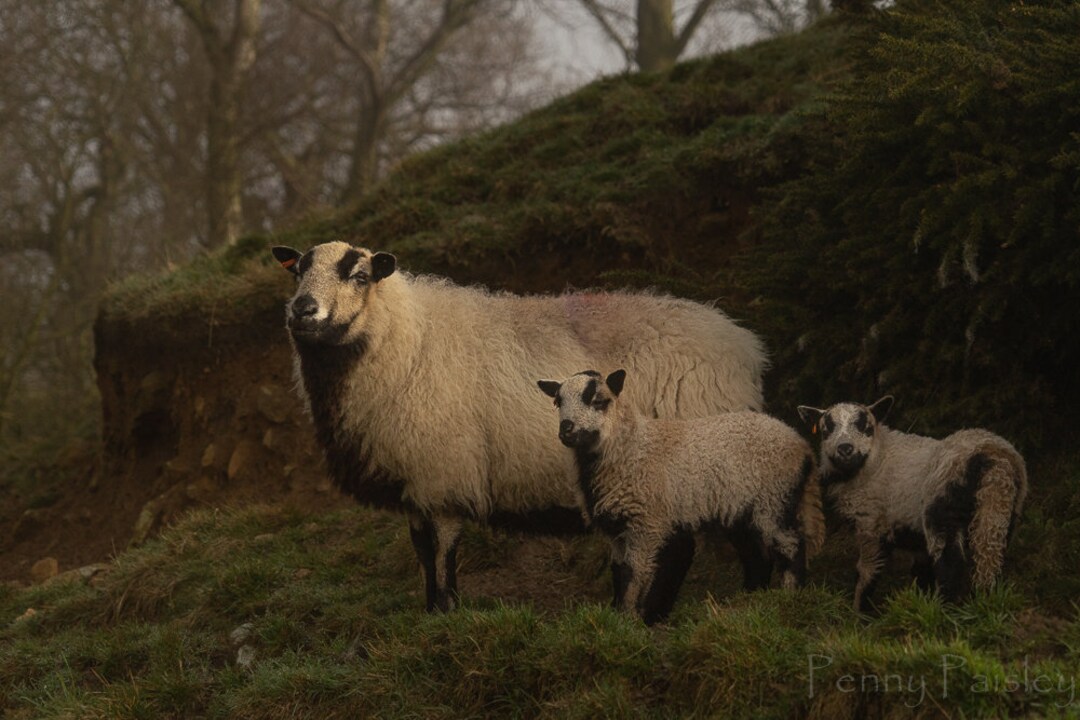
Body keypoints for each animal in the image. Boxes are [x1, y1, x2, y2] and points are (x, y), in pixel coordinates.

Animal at [270, 241, 767, 612]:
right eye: (298, 273)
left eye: (359, 276)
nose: (303, 310)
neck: (405, 341)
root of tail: (743, 347)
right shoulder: (415, 479)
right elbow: (422, 550)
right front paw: (429, 612)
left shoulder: (443, 473)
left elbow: (442, 550)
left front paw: (445, 613)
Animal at [537, 369, 825, 625]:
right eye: (558, 402)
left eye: (598, 401)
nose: (567, 430)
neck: (631, 447)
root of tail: (802, 447)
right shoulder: (618, 527)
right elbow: (619, 570)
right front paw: (619, 615)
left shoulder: (647, 522)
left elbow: (634, 571)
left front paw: (629, 620)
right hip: (743, 510)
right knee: (758, 555)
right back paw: (749, 600)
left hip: (774, 500)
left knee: (791, 545)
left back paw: (788, 595)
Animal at [796, 397, 1028, 610]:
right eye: (827, 428)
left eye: (865, 426)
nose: (845, 449)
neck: (876, 459)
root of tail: (996, 462)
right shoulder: (914, 534)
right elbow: (921, 572)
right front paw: (920, 601)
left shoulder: (870, 524)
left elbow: (867, 571)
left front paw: (860, 613)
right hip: (1001, 517)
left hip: (941, 511)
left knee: (950, 565)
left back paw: (945, 612)